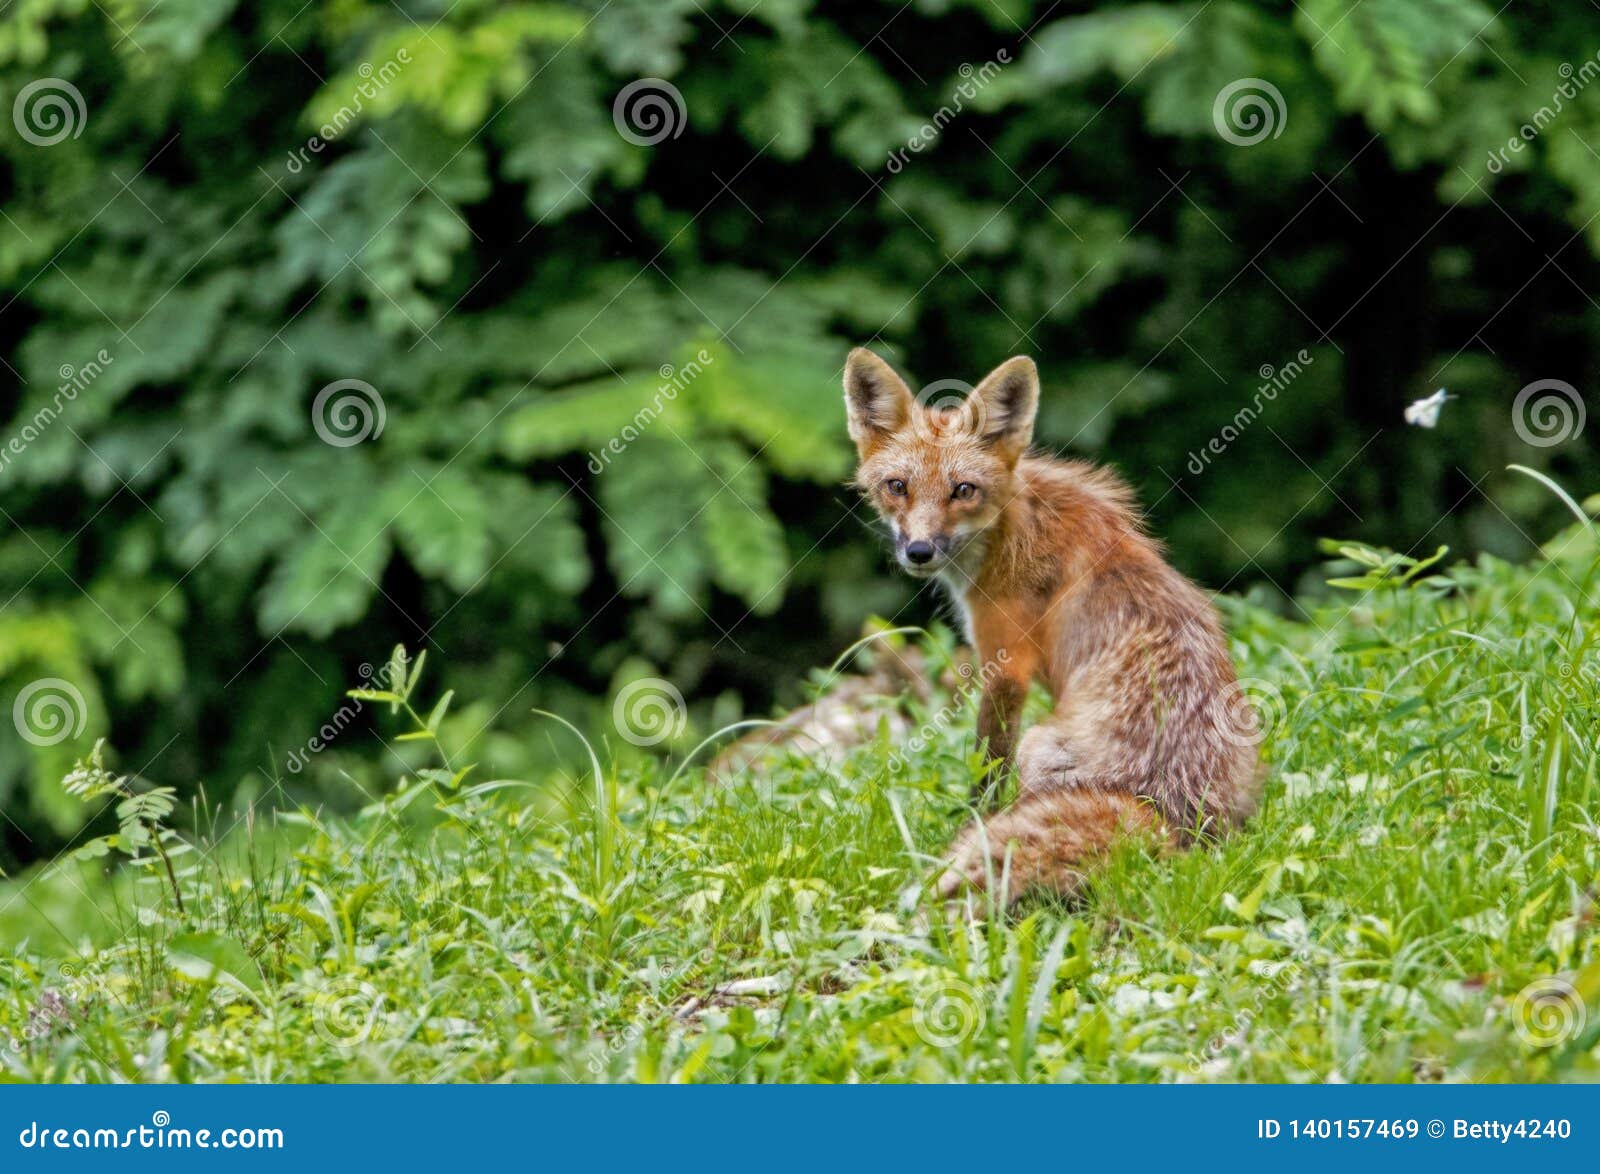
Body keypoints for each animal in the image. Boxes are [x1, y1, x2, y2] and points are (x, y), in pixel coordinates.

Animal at [843, 347, 1262, 907]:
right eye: (897, 487)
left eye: (962, 491)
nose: (919, 551)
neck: (1010, 527)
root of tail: (1165, 812)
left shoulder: (1004, 667)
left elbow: (986, 770)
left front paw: (972, 820)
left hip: (1037, 745)